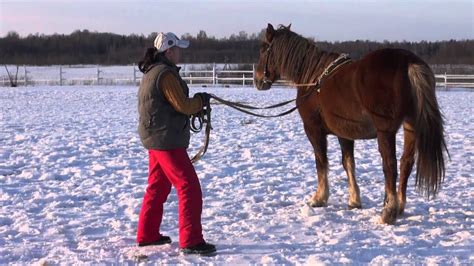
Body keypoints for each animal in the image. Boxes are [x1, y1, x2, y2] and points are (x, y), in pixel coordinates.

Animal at [256, 24, 448, 224]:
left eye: (263, 49)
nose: (258, 79)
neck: (313, 79)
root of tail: (408, 62)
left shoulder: (314, 130)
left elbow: (321, 162)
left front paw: (319, 198)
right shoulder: (345, 133)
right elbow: (348, 163)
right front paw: (354, 200)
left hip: (386, 132)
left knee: (390, 165)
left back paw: (388, 211)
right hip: (410, 126)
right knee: (406, 164)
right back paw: (400, 207)